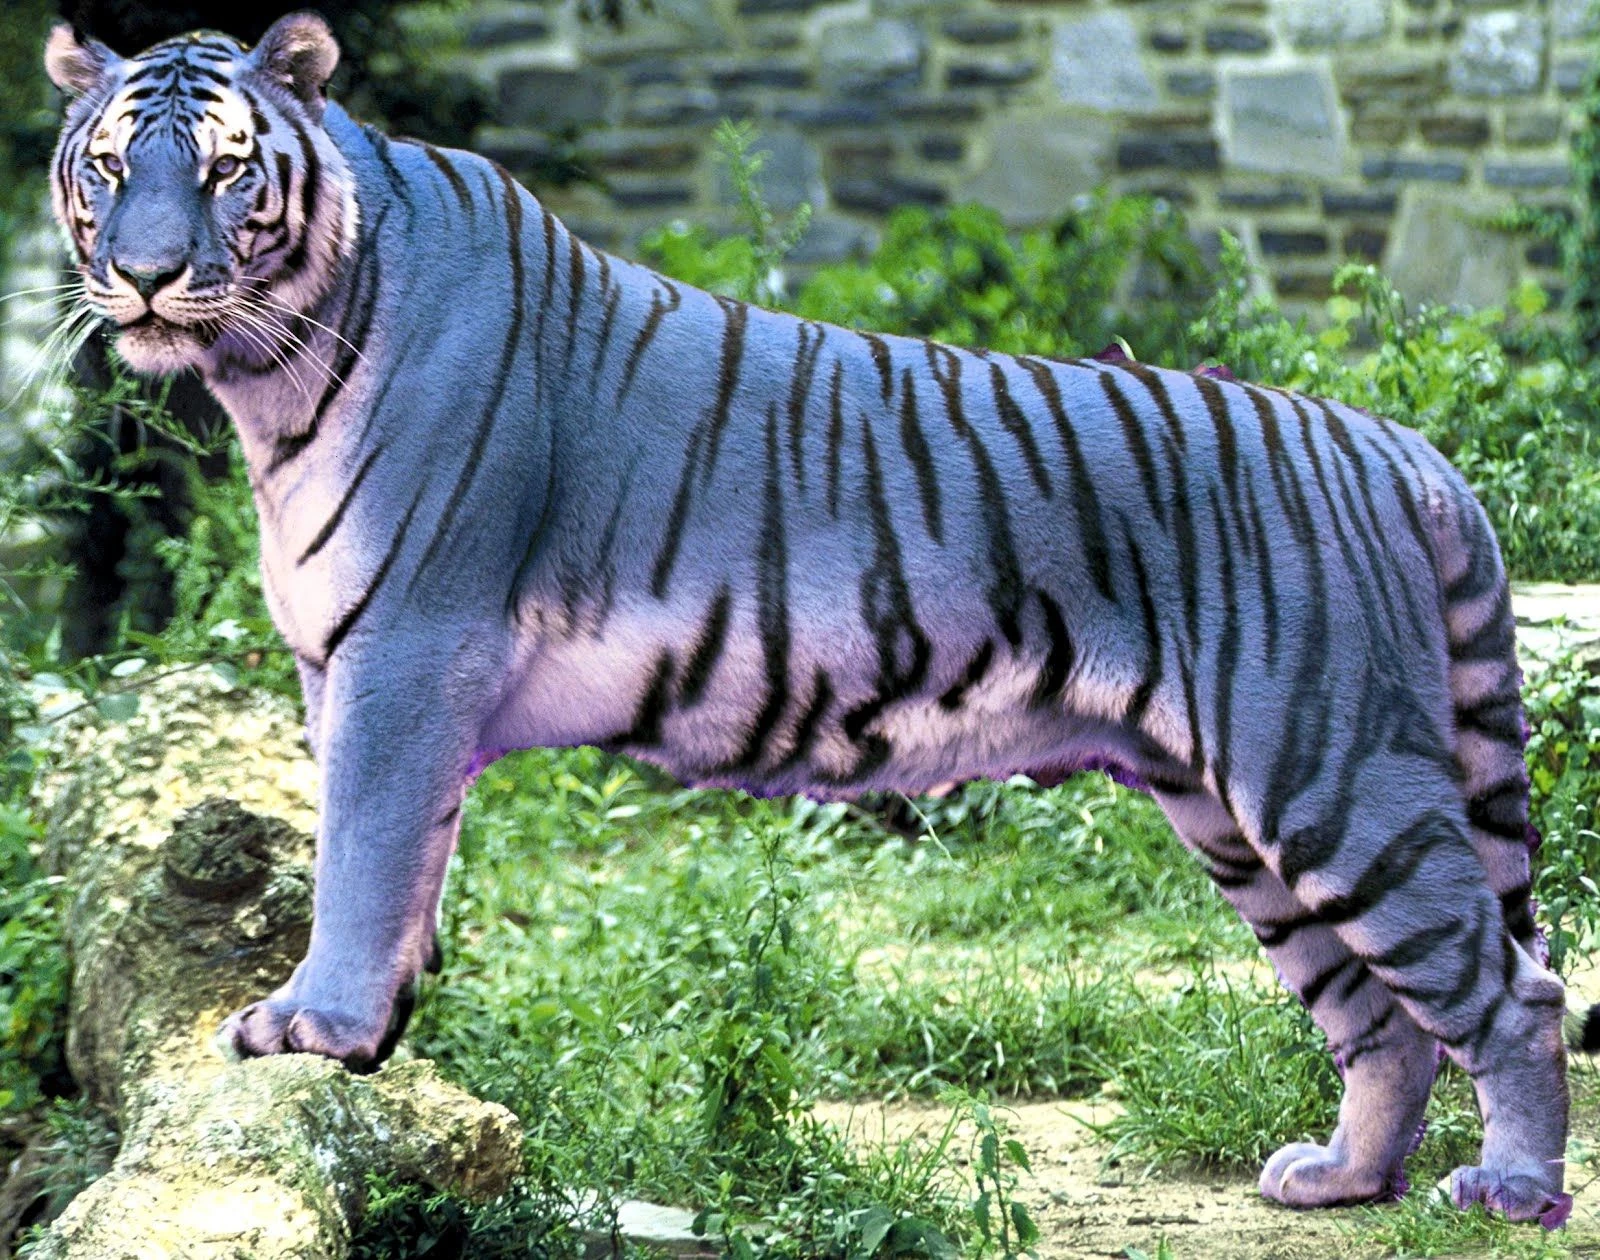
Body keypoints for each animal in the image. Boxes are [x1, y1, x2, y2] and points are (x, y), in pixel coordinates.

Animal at [42, 11, 1579, 1225]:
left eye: (225, 167)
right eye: (110, 167)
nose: (148, 276)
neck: (274, 375)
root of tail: (1393, 443)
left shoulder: (408, 649)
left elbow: (359, 853)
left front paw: (316, 1028)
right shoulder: (348, 668)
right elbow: (403, 860)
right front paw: (383, 1037)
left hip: (1332, 772)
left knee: (1511, 989)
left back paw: (1510, 1192)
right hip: (1235, 814)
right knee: (1381, 1016)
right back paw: (1342, 1180)